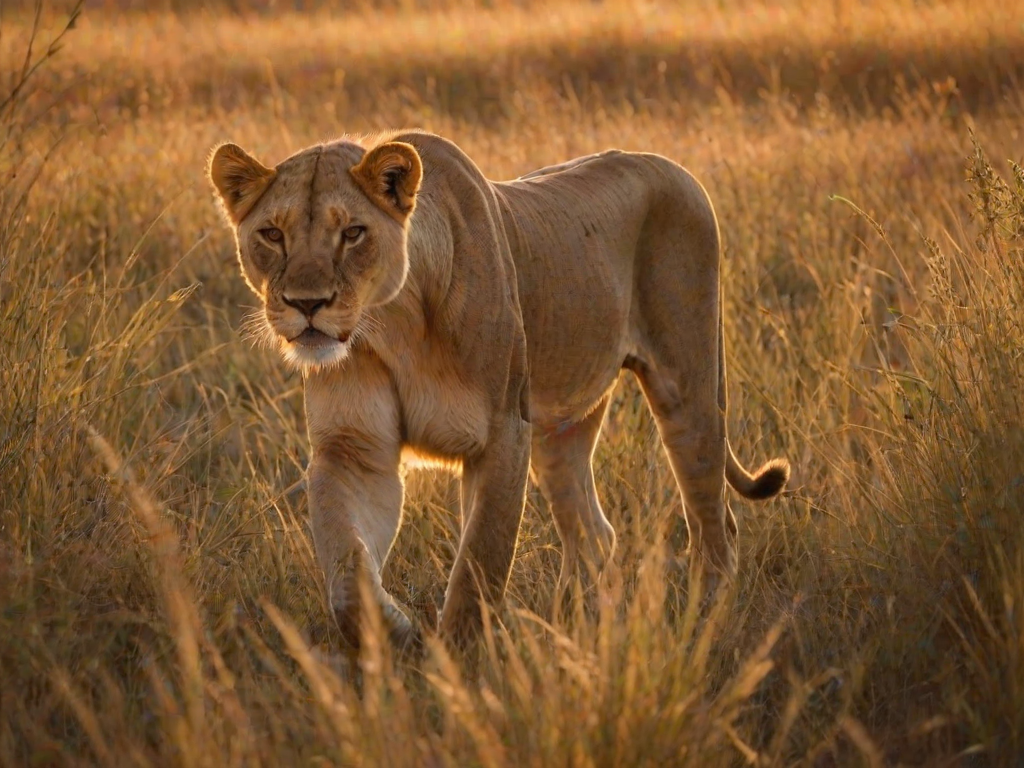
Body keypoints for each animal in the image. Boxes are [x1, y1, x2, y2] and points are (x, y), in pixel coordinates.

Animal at [208, 130, 789, 652]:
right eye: (272, 235)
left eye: (352, 233)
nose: (307, 304)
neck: (394, 321)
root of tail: (671, 165)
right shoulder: (353, 451)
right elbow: (347, 571)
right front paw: (392, 631)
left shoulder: (502, 435)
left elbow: (479, 563)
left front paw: (458, 665)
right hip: (559, 429)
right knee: (593, 533)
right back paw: (571, 628)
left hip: (687, 387)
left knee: (715, 523)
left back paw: (705, 621)